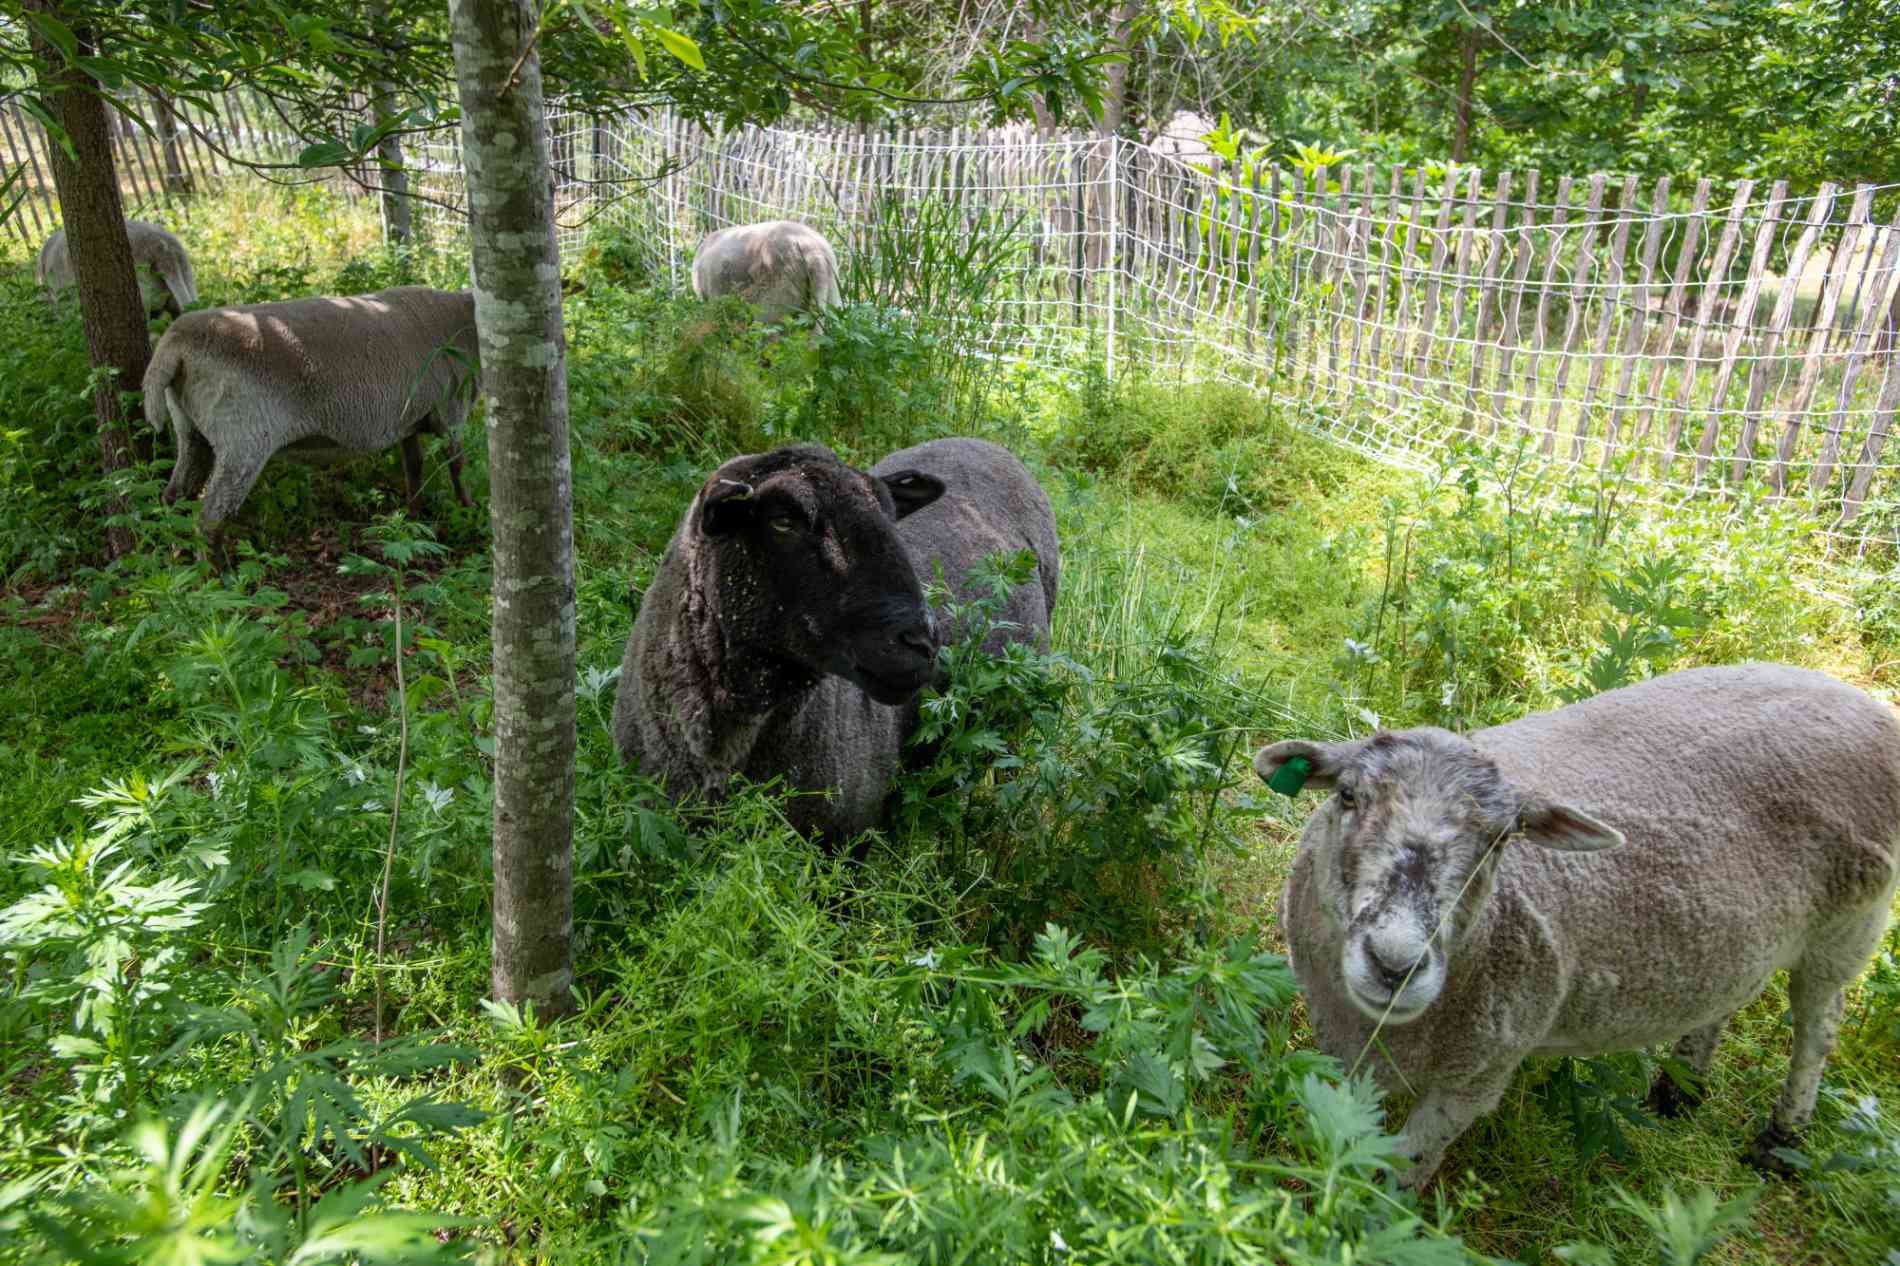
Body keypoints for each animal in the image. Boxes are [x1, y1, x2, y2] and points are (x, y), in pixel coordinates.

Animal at [145, 286, 478, 554]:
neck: (466, 321)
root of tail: (173, 346)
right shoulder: (451, 408)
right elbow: (458, 466)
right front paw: (469, 512)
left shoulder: (409, 419)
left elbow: (414, 468)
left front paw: (413, 518)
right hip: (243, 438)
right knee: (209, 519)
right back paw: (221, 580)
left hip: (190, 429)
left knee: (174, 497)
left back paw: (179, 559)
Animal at [1254, 664, 1900, 1189]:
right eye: (1346, 795)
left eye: (1502, 839)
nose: (1395, 964)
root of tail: (1860, 699)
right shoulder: (1339, 1044)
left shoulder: (1476, 1080)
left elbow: (1402, 1170)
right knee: (1730, 993)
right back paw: (1679, 1092)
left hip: (1849, 926)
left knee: (1819, 1026)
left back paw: (1780, 1140)